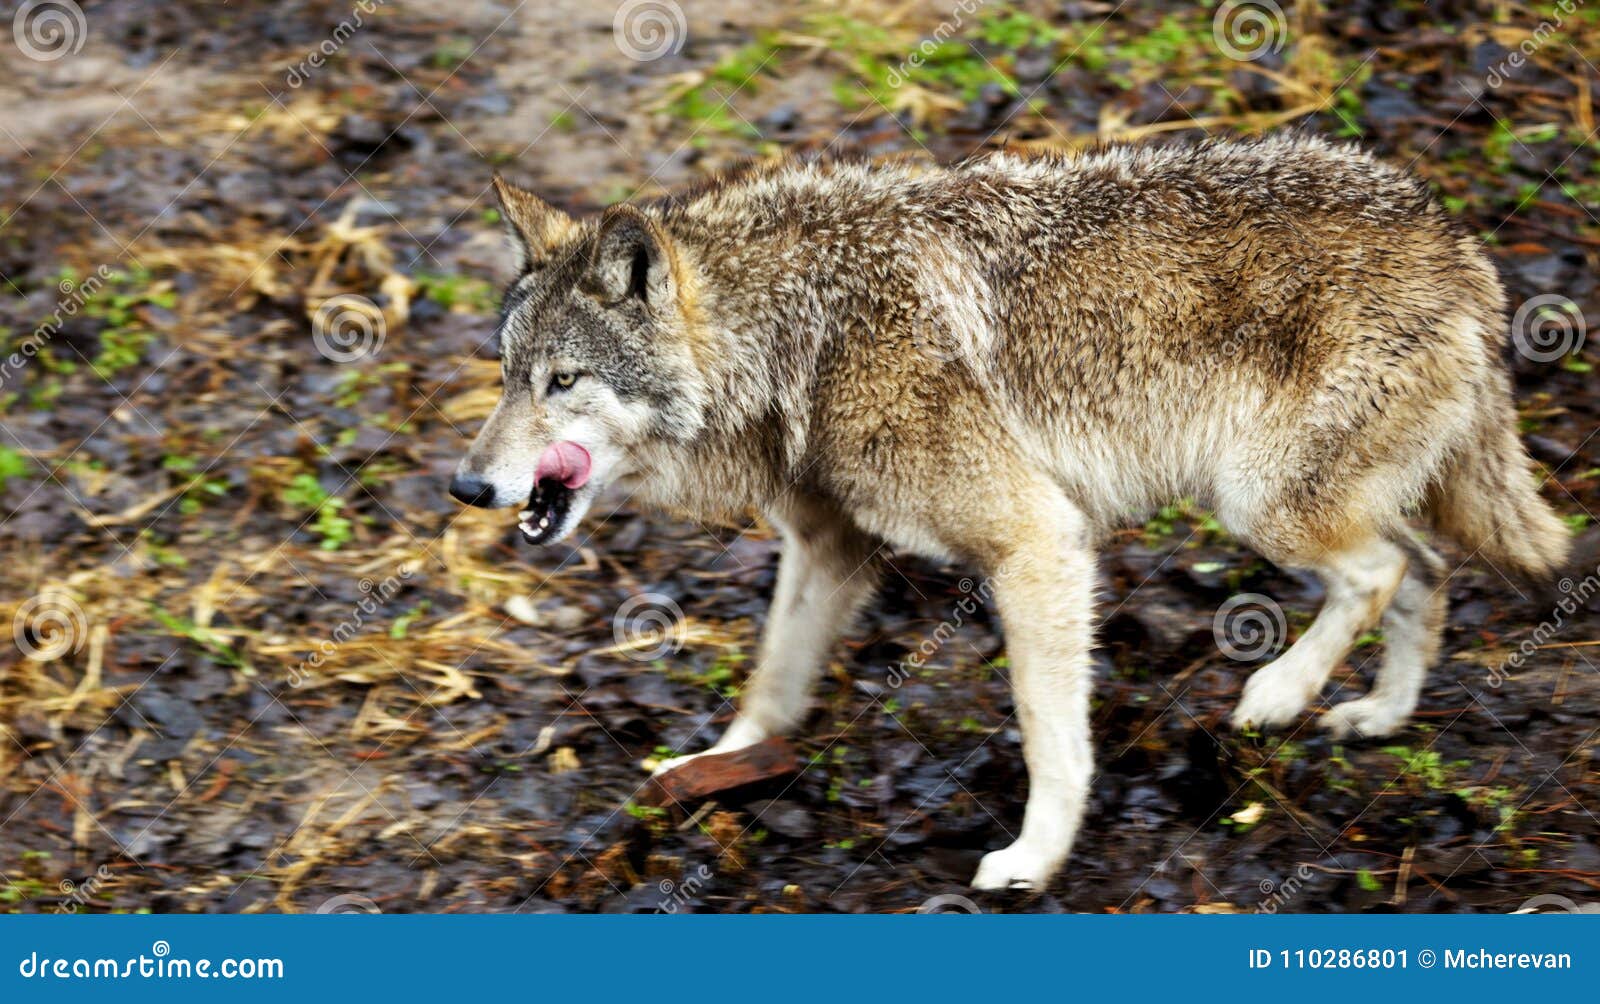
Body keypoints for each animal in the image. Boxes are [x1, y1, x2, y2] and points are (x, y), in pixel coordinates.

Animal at [449, 135, 1570, 891]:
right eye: (506, 376)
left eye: (563, 381)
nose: (466, 487)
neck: (799, 337)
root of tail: (1461, 245)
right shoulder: (829, 547)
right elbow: (771, 685)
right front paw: (714, 768)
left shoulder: (1038, 542)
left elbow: (1048, 730)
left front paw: (1036, 854)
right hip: (1303, 503)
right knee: (1428, 569)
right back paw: (1378, 715)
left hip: (1260, 504)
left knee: (1387, 570)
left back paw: (1277, 693)